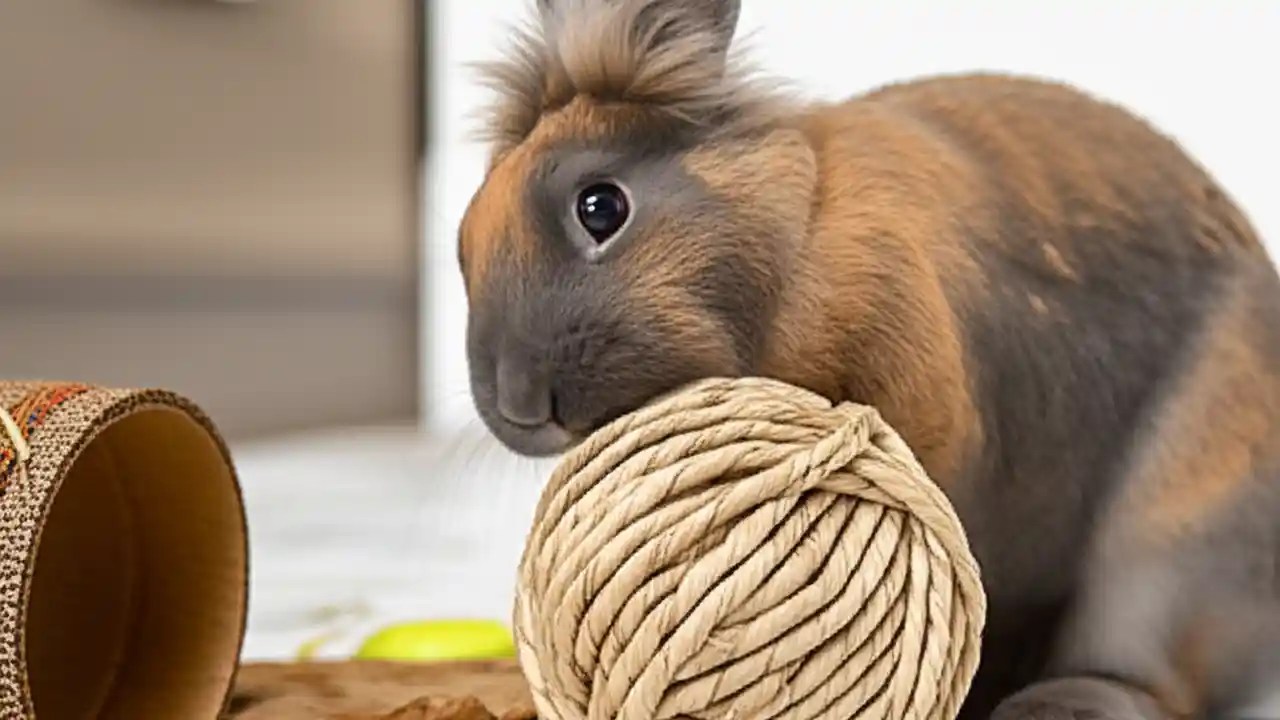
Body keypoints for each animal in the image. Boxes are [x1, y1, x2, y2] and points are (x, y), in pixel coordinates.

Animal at [456, 0, 1280, 718]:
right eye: (462, 245)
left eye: (601, 208)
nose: (521, 403)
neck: (796, 243)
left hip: (1174, 532)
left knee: (1144, 662)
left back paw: (1057, 706)